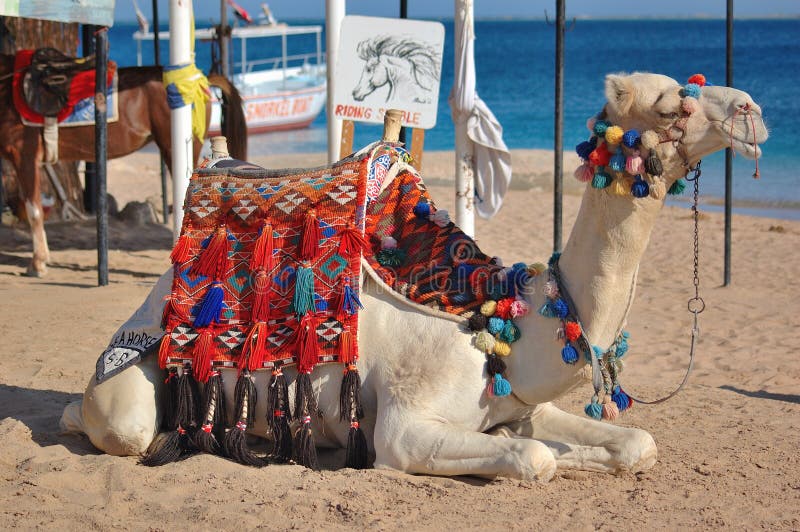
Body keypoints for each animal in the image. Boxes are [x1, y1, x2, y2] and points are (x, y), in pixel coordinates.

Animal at [61, 73, 766, 481]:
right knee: (120, 423)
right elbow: (534, 459)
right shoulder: (406, 427)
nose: (751, 109)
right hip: (129, 389)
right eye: (673, 105)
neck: (507, 326)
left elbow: (633, 442)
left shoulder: (515, 406)